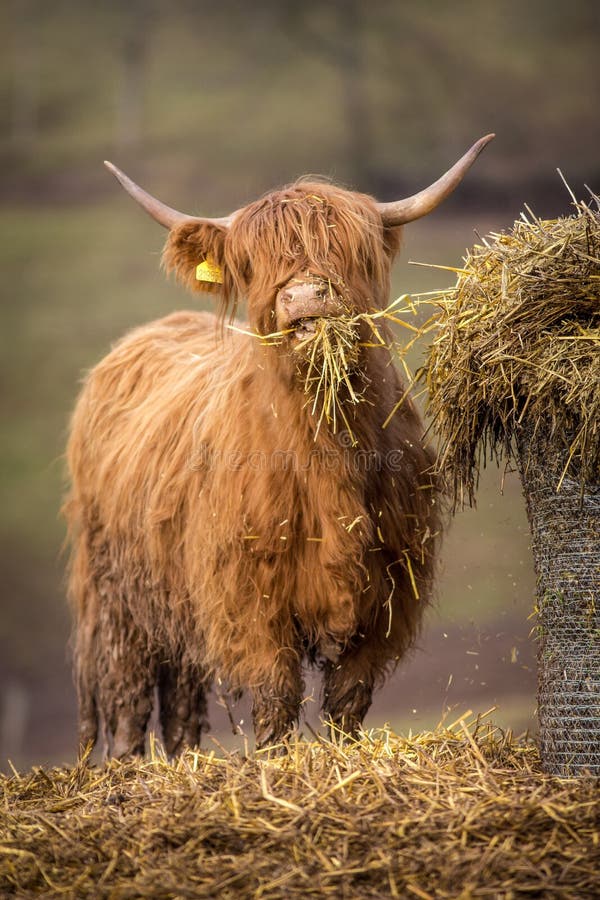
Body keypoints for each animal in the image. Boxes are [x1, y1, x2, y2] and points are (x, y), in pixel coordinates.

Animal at [64, 135, 494, 757]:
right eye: (253, 262)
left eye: (347, 246)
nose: (304, 295)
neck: (326, 451)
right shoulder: (249, 598)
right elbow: (275, 694)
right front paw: (273, 761)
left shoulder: (389, 596)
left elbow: (348, 698)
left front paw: (341, 757)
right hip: (116, 594)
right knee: (127, 694)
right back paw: (128, 765)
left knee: (181, 701)